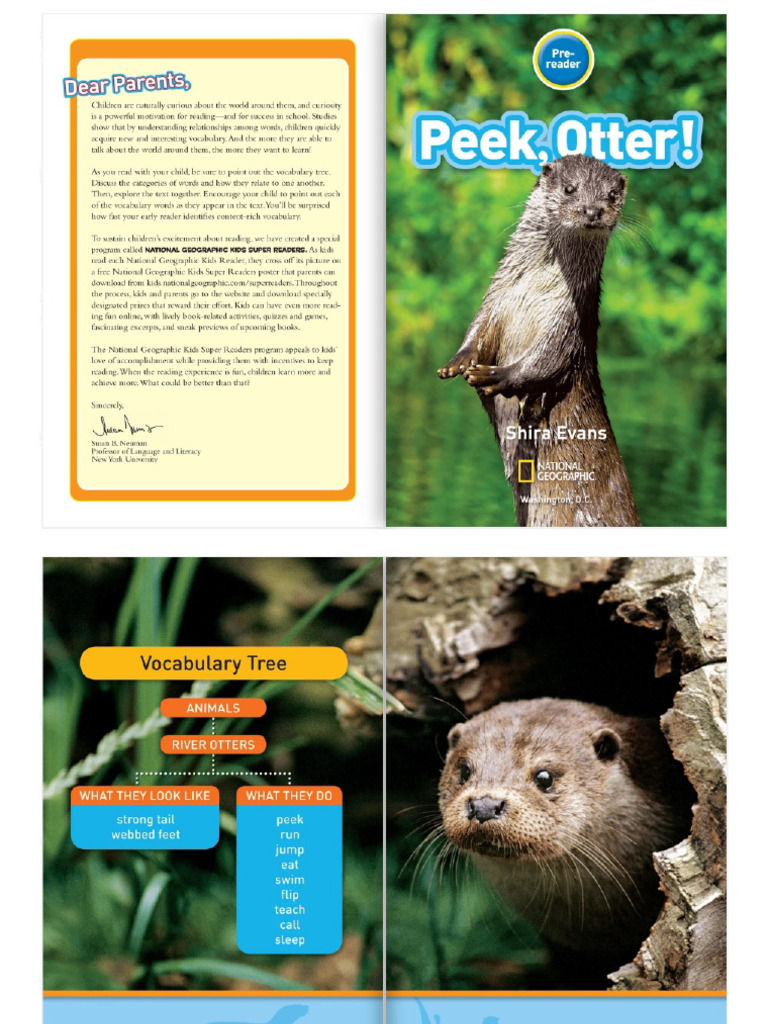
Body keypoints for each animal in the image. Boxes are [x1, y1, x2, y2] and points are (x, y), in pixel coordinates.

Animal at [437, 154, 640, 527]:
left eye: (611, 194)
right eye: (570, 188)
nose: (593, 211)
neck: (534, 293)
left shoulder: (569, 321)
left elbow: (547, 361)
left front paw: (494, 376)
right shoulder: (497, 297)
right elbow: (477, 330)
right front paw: (458, 362)